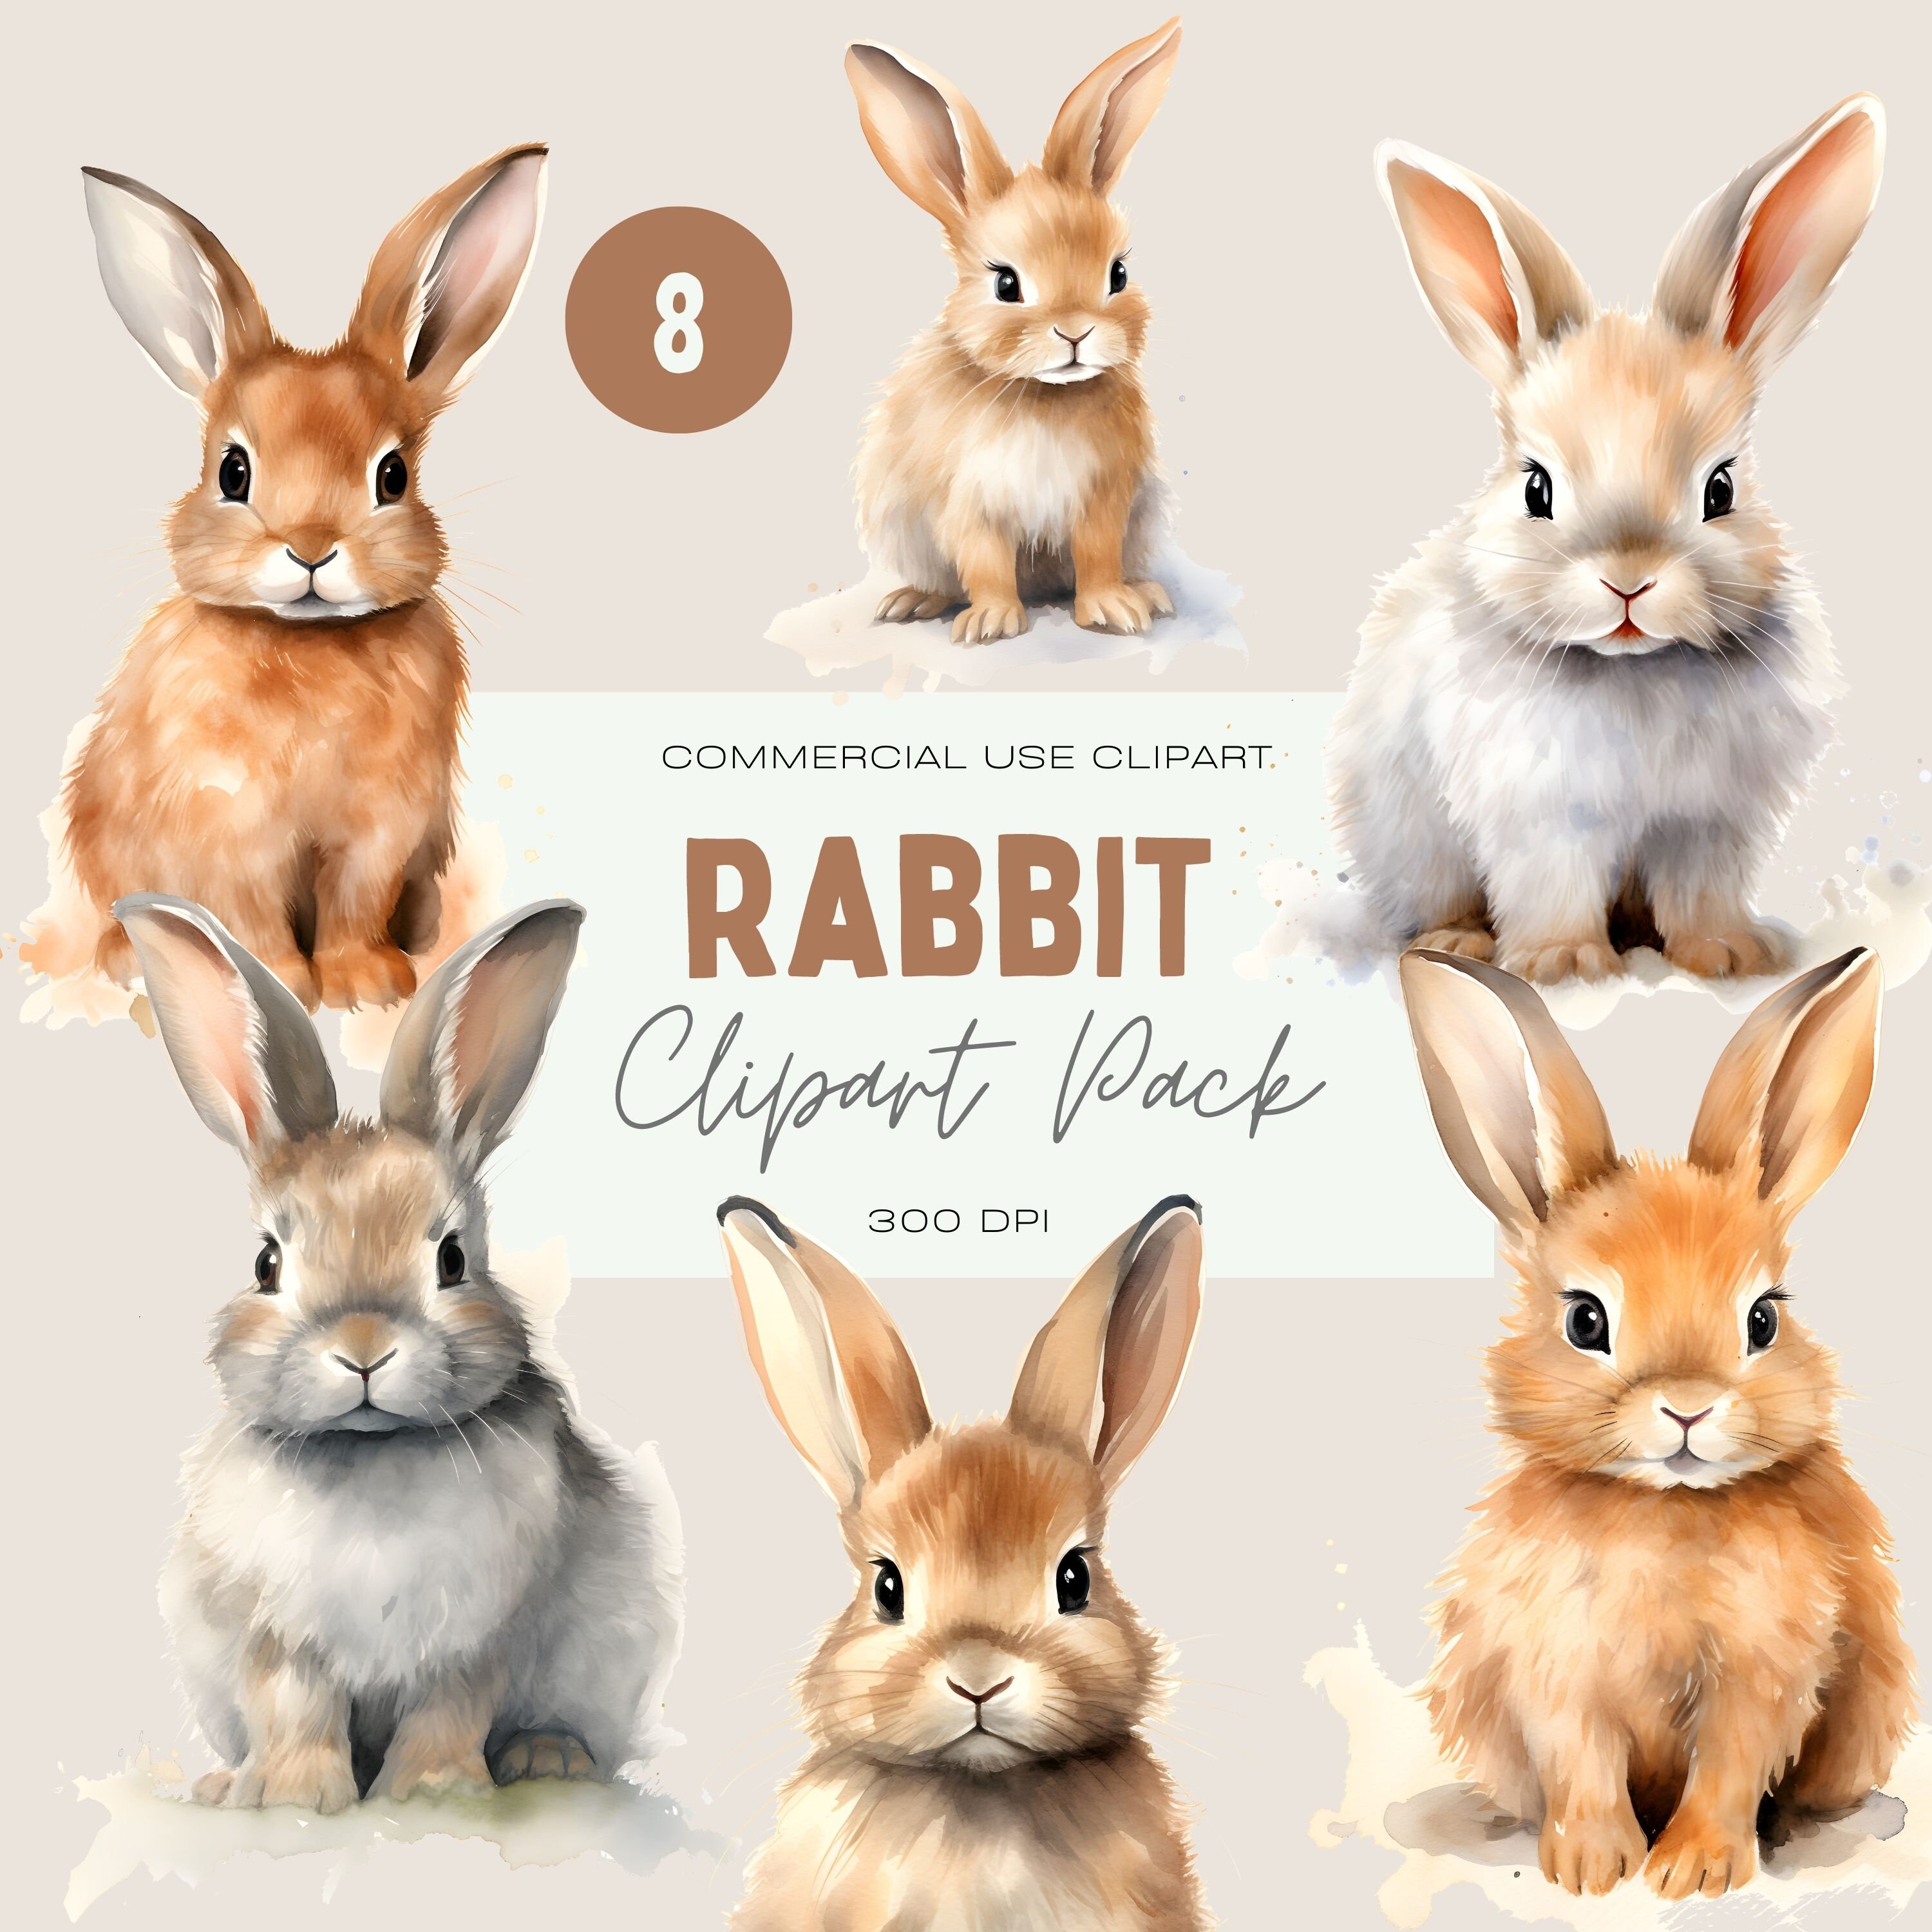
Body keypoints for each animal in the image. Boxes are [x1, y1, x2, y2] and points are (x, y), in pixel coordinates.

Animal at [49, 146, 546, 1014]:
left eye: (393, 475)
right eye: (233, 471)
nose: (311, 550)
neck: (310, 646)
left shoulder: (381, 831)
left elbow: (355, 902)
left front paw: (369, 988)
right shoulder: (226, 827)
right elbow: (248, 912)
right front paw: (281, 983)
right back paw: (126, 962)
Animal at [116, 892, 683, 1811]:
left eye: (452, 1259)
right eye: (267, 1264)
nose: (363, 1351)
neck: (371, 1455)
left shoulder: (475, 1641)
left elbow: (449, 1712)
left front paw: (431, 1795)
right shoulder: (279, 1639)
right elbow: (298, 1710)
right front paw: (297, 1799)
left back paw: (547, 1757)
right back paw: (223, 1782)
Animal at [845, 21, 1183, 645]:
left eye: (1118, 275)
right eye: (1006, 284)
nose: (1075, 333)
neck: (1042, 395)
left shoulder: (1105, 497)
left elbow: (1097, 556)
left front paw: (1113, 609)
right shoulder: (968, 503)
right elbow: (986, 563)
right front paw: (992, 624)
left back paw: (1147, 592)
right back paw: (911, 601)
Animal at [1327, 98, 1885, 985]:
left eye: (1720, 490)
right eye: (1537, 489)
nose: (1630, 583)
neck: (1634, 671)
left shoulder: (1706, 823)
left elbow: (1699, 889)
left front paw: (1727, 955)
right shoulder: (1543, 816)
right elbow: (1550, 882)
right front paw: (1565, 965)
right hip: (1415, 841)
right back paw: (1459, 945)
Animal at [1398, 943, 1916, 1899]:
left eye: (1764, 1319)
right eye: (1585, 1321)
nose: (1686, 1406)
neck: (1661, 1509)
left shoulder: (1761, 1674)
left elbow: (1729, 1767)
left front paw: (1695, 1872)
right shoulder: (1556, 1671)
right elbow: (1583, 1767)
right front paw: (1591, 1868)